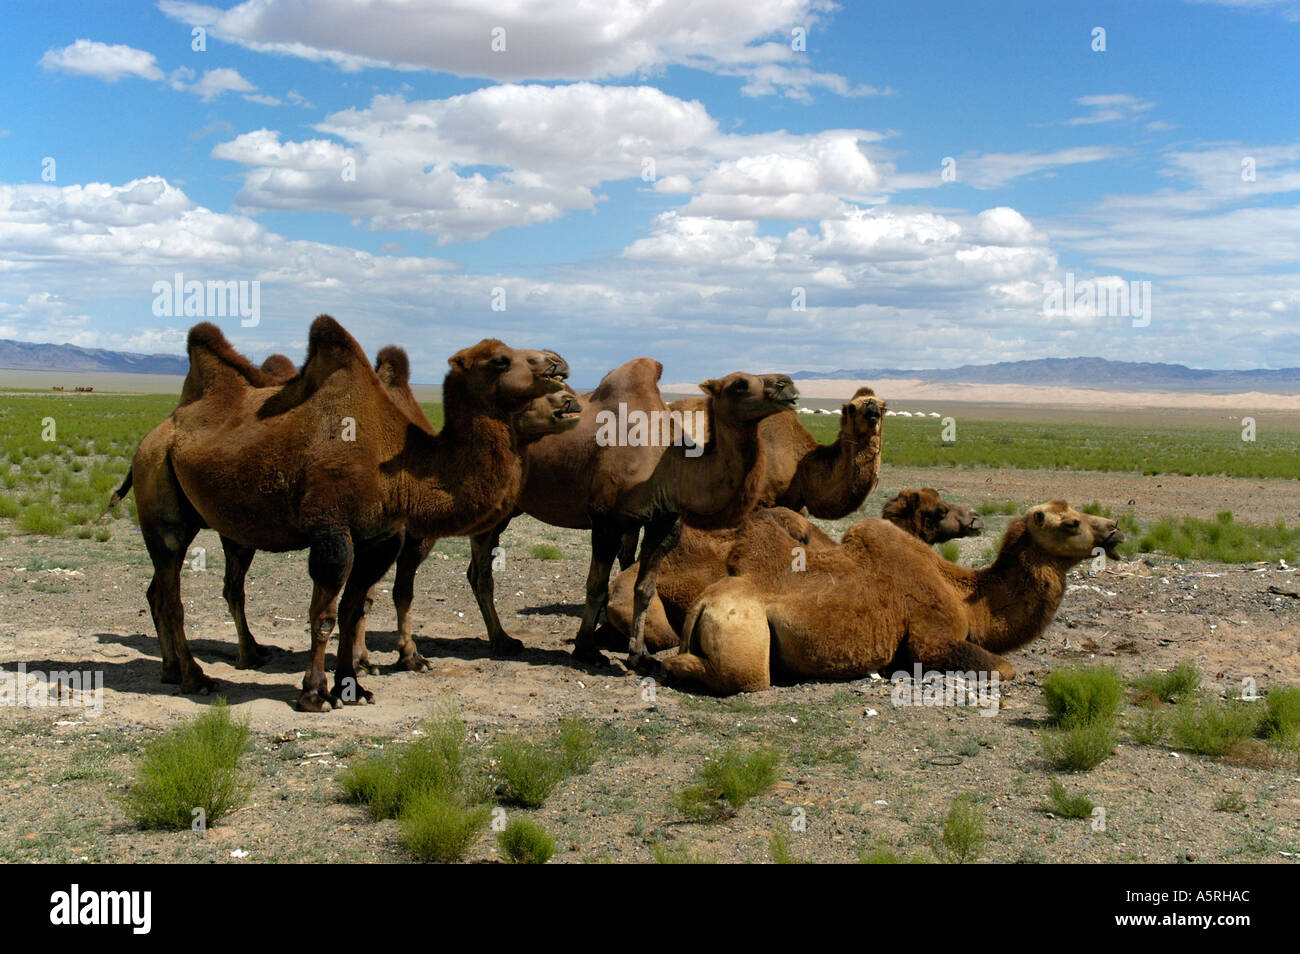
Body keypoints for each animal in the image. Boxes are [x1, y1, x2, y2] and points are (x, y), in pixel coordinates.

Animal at [126, 316, 567, 710]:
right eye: (500, 360)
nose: (558, 364)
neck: (397, 466)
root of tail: (155, 435)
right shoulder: (332, 529)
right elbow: (324, 615)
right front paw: (315, 694)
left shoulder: (381, 536)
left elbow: (354, 610)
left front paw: (353, 687)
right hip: (161, 500)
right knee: (172, 593)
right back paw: (195, 676)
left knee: (167, 590)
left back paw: (177, 668)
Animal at [463, 360, 797, 670]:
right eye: (739, 383)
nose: (788, 384)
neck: (666, 465)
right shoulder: (605, 519)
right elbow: (597, 587)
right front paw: (587, 650)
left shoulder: (663, 523)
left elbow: (645, 589)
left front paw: (640, 655)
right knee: (482, 575)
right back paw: (502, 641)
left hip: (508, 509)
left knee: (474, 570)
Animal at [660, 500, 1124, 694]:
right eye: (1070, 523)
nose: (1115, 528)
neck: (964, 595)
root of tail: (704, 603)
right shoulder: (931, 637)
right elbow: (1003, 667)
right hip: (742, 633)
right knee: (740, 678)